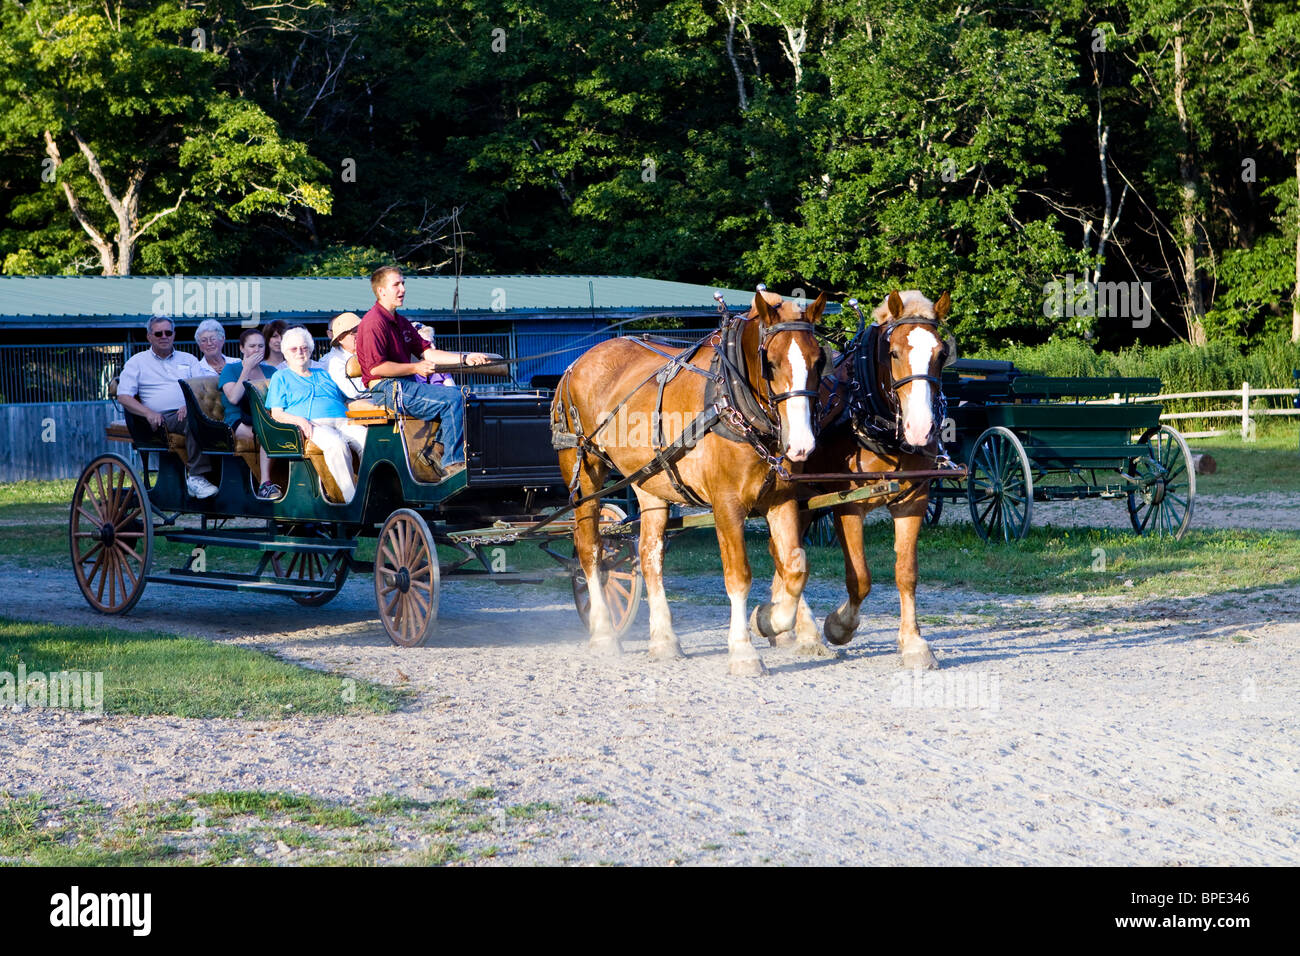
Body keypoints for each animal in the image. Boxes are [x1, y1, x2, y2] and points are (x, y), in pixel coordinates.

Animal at [552, 290, 829, 676]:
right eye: (770, 363)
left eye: (819, 362)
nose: (801, 444)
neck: (732, 401)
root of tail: (575, 364)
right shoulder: (726, 505)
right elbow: (738, 575)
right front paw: (743, 651)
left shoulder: (782, 500)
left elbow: (795, 568)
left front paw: (771, 620)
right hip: (584, 475)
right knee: (590, 549)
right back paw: (604, 633)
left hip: (648, 482)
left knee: (649, 556)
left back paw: (663, 640)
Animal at [747, 290, 954, 669]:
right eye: (893, 352)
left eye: (941, 354)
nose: (920, 428)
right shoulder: (848, 506)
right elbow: (860, 578)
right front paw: (839, 626)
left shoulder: (913, 502)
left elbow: (906, 572)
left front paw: (914, 643)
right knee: (785, 553)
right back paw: (804, 632)